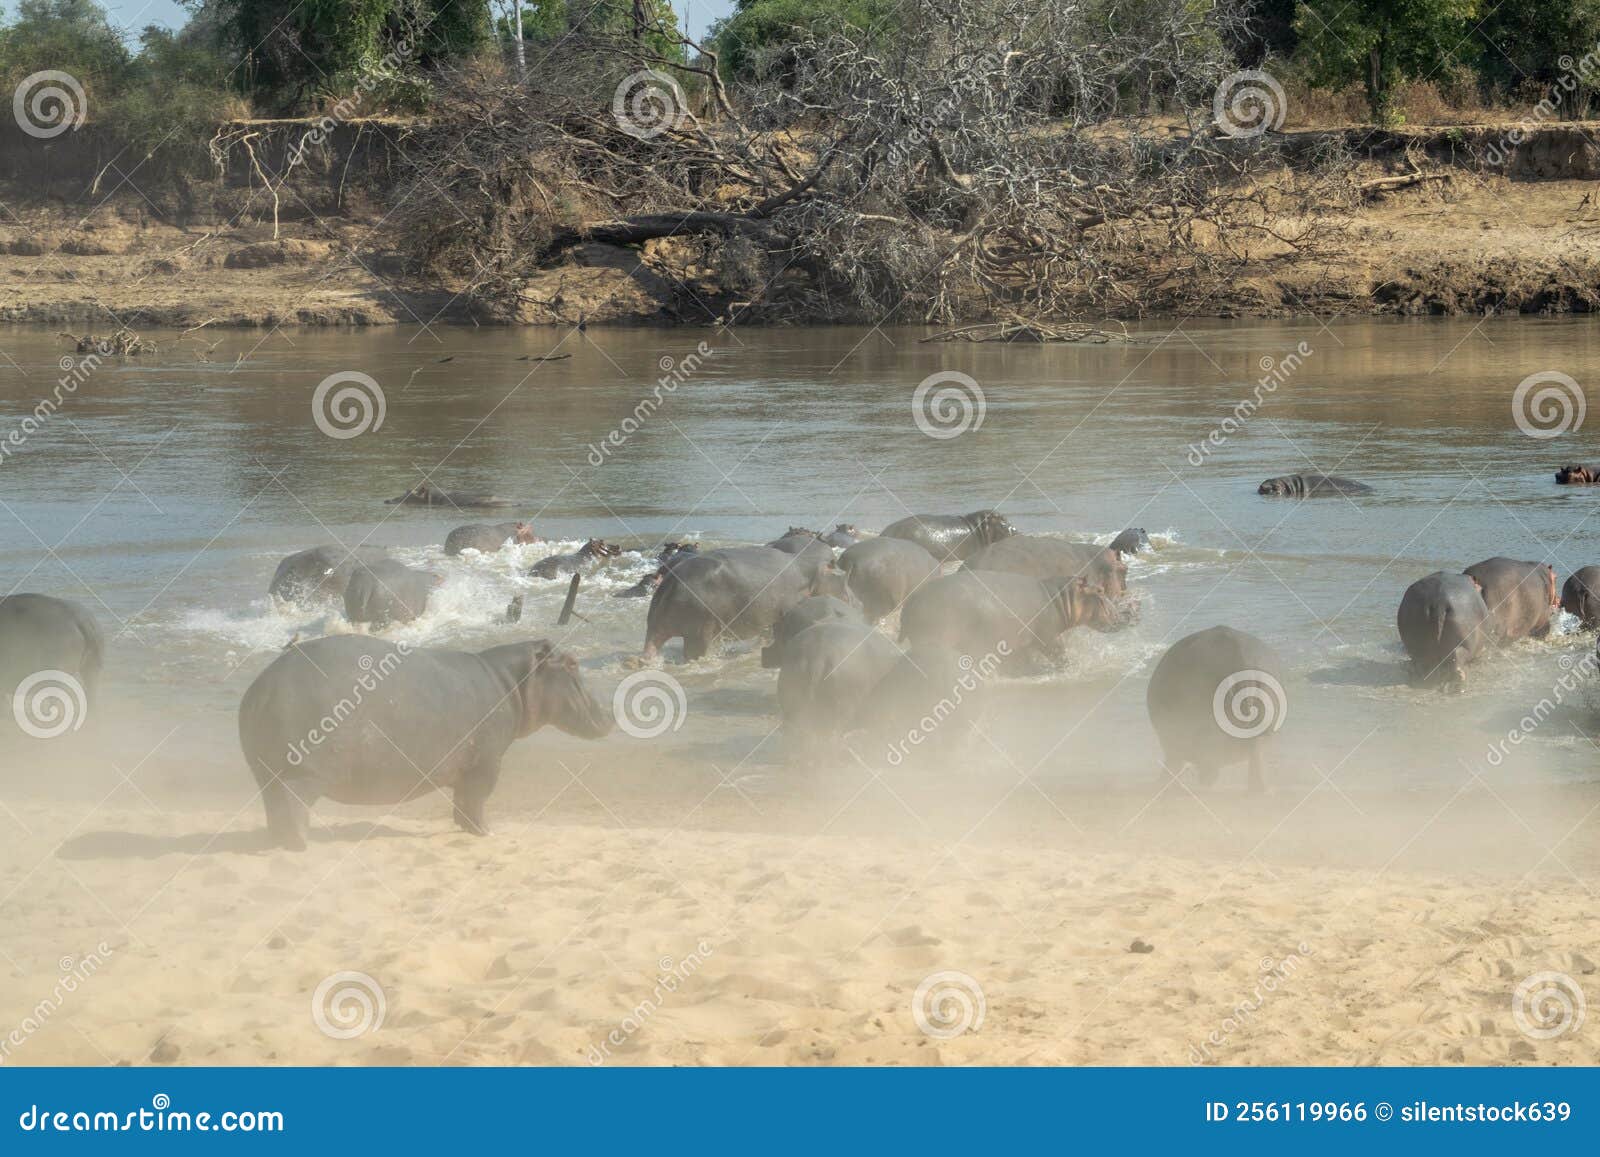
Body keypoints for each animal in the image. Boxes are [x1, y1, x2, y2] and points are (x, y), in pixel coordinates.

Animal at [239, 636, 611, 849]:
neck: (511, 680)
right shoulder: (487, 762)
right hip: (302, 773)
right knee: (292, 804)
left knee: (275, 807)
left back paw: (280, 842)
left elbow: (463, 803)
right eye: (572, 663)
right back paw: (302, 846)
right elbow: (476, 799)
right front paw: (486, 833)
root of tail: (262, 687)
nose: (610, 712)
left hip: (265, 773)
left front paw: (470, 830)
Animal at [642, 546, 826, 662]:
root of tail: (671, 582)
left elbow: (765, 636)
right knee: (695, 652)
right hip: (699, 631)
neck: (808, 575)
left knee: (652, 644)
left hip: (657, 624)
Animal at [899, 571, 1125, 668]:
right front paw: (1072, 667)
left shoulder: (1018, 643)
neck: (1060, 598)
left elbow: (1022, 660)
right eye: (1100, 590)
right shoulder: (1048, 638)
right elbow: (1060, 653)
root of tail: (910, 604)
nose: (1121, 615)